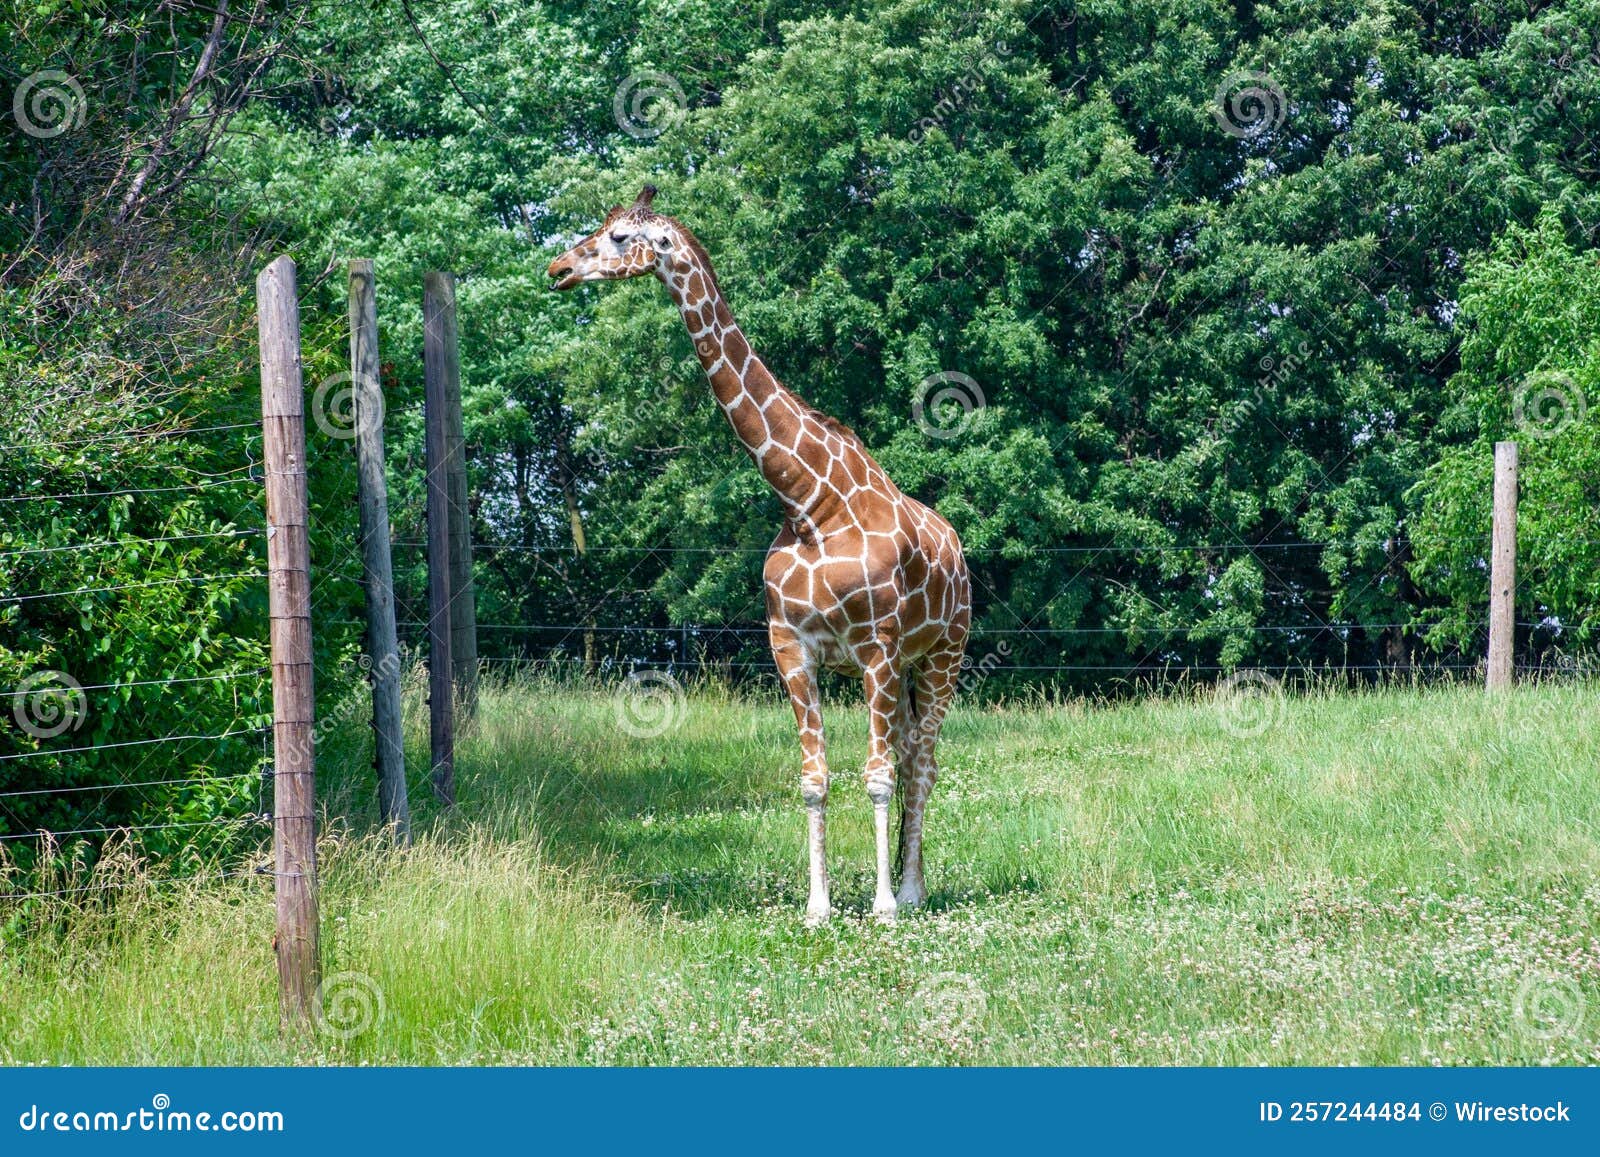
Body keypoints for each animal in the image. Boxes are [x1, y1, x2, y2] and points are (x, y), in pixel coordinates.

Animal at [548, 186, 971, 924]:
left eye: (621, 236)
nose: (559, 269)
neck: (809, 502)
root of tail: (957, 546)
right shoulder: (792, 649)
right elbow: (814, 779)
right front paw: (819, 906)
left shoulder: (877, 648)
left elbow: (878, 776)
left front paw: (884, 906)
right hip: (908, 669)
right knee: (913, 752)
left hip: (942, 654)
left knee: (921, 761)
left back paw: (913, 890)